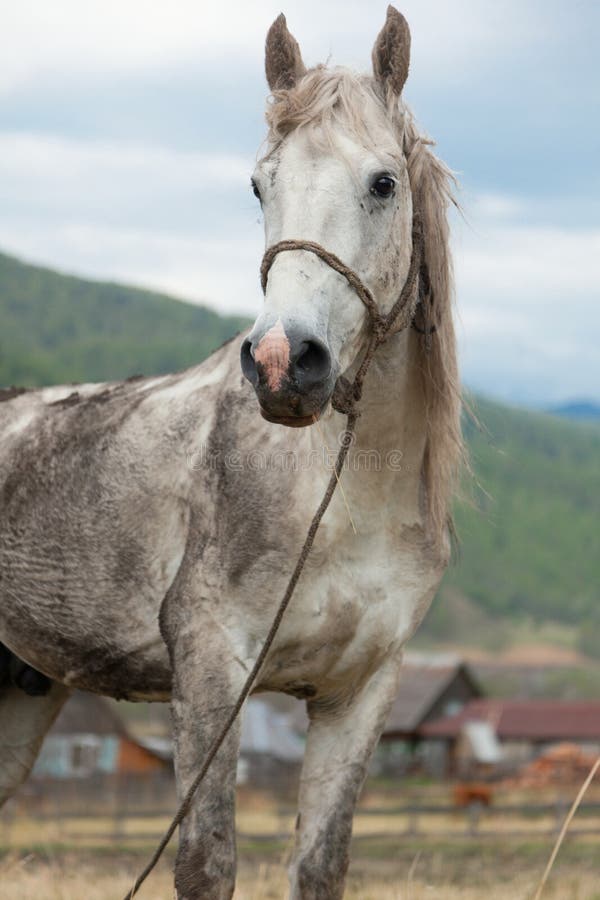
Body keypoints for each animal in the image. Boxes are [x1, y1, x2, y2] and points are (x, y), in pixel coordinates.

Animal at [0, 7, 462, 898]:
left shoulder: (359, 693)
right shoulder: (213, 670)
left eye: (383, 183)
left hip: (22, 692)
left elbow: (319, 866)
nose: (284, 363)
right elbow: (208, 864)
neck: (336, 499)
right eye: (260, 184)